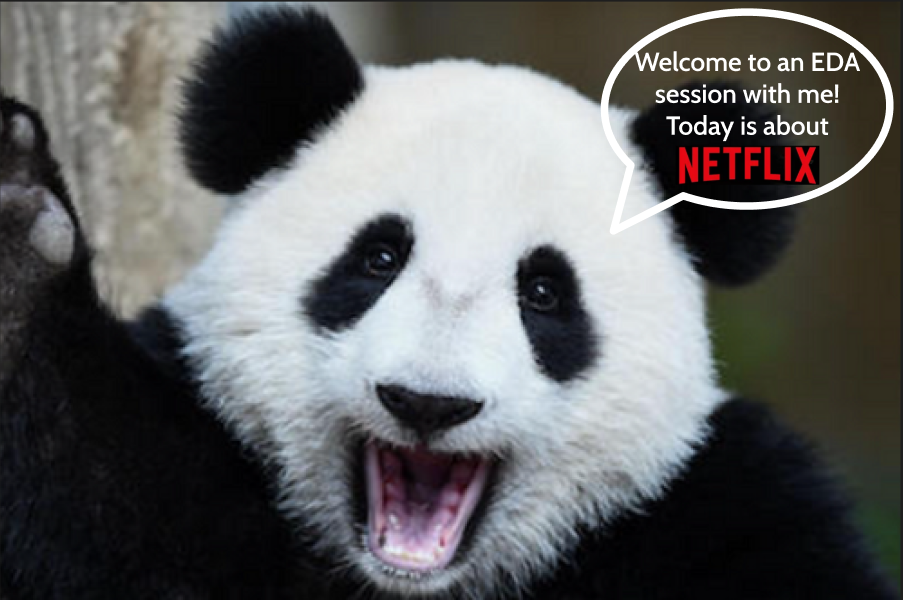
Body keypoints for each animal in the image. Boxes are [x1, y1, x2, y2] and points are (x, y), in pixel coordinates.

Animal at [0, 7, 896, 600]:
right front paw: (17, 240)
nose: (427, 403)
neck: (413, 587)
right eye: (377, 258)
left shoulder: (722, 512)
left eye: (544, 293)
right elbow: (99, 494)